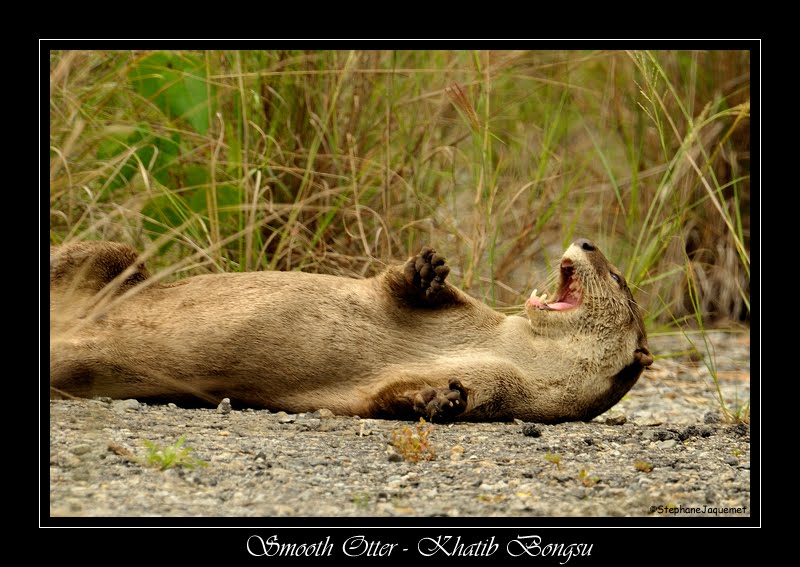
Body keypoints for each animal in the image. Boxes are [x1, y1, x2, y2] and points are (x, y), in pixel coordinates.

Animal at [49, 239, 653, 423]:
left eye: (617, 277)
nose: (587, 241)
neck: (508, 350)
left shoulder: (507, 390)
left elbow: (386, 397)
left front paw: (439, 398)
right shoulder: (471, 314)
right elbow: (395, 288)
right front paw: (426, 270)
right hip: (114, 256)